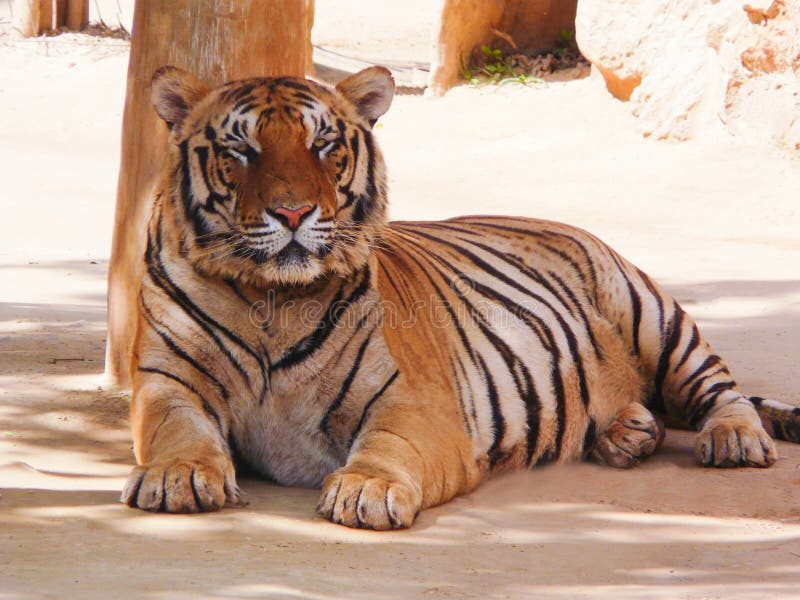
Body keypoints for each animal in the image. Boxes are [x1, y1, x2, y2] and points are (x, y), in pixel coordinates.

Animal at [120, 65, 800, 529]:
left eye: (323, 145)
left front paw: (365, 489)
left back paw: (733, 441)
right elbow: (176, 430)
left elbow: (388, 444)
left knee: (721, 389)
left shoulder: (413, 398)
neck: (273, 300)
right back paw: (627, 432)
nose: (292, 213)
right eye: (241, 149)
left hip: (652, 317)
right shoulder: (168, 382)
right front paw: (178, 476)